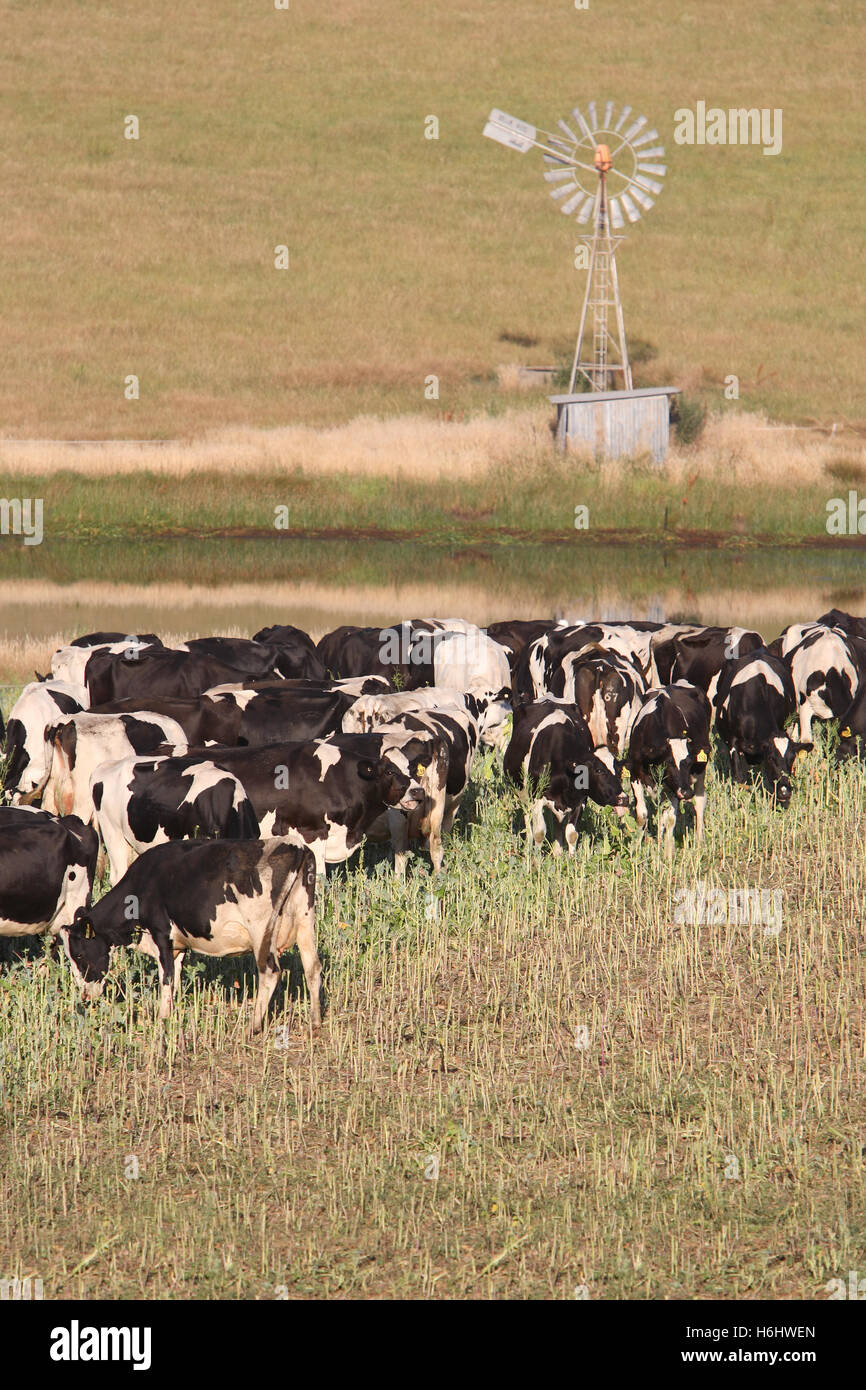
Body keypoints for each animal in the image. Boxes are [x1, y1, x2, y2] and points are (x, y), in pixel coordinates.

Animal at [61, 839, 321, 1033]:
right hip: (305, 920)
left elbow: (166, 978)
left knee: (270, 971)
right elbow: (174, 978)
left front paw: (162, 1020)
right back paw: (316, 1020)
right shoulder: (178, 946)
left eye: (79, 955)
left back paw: (251, 1027)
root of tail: (298, 847)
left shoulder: (161, 933)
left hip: (262, 929)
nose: (84, 996)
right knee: (312, 967)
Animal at [503, 701, 629, 854]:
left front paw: (571, 858)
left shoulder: (580, 799)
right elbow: (539, 832)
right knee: (528, 818)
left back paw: (557, 853)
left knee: (558, 822)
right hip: (522, 793)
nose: (623, 798)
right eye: (599, 770)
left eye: (619, 771)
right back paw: (528, 846)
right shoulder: (536, 797)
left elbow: (571, 834)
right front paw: (536, 858)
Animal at [627, 683, 712, 856]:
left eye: (689, 762)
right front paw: (636, 849)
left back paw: (699, 842)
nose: (686, 793)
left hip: (700, 771)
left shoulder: (675, 786)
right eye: (668, 763)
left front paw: (667, 853)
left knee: (700, 802)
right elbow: (641, 814)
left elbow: (671, 818)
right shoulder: (635, 772)